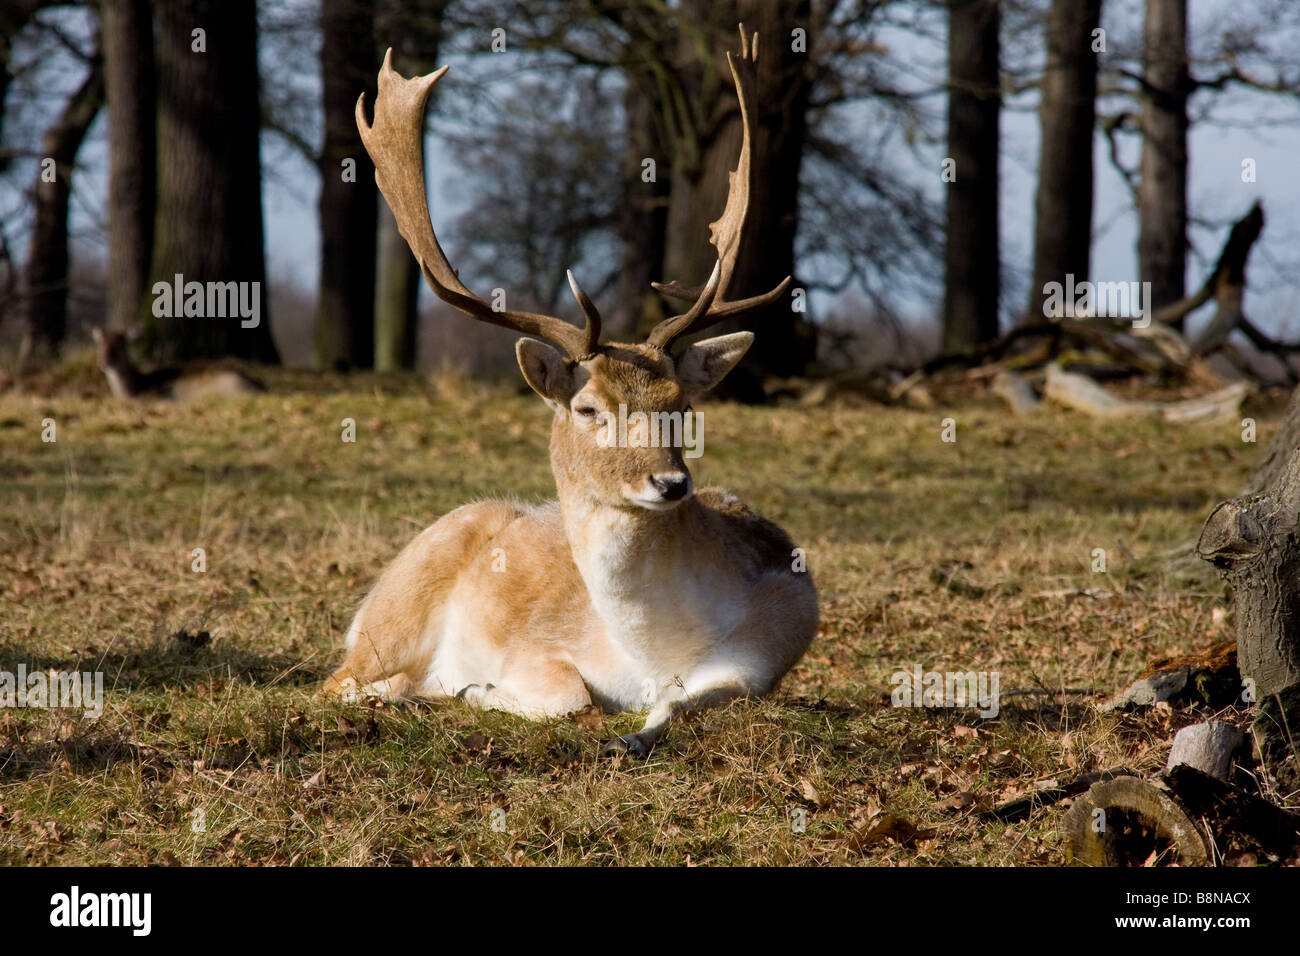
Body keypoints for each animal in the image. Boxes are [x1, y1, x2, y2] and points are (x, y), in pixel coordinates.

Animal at [325, 28, 817, 756]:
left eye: (681, 407)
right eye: (588, 409)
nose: (669, 483)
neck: (655, 654)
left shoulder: (768, 649)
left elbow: (682, 706)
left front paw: (628, 735)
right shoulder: (540, 648)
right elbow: (569, 695)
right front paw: (478, 690)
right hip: (394, 615)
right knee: (338, 682)